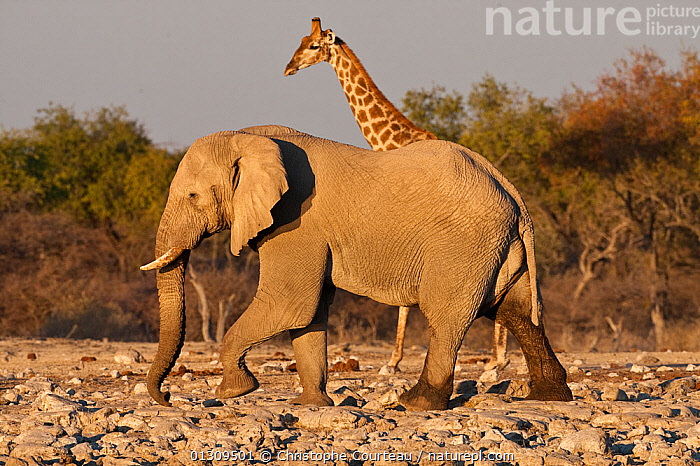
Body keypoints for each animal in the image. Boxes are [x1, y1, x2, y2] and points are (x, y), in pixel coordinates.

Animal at [141, 125, 572, 410]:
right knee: (516, 311)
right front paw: (313, 404)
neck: (246, 137)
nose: (168, 398)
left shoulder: (296, 222)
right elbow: (310, 312)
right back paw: (550, 395)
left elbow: (290, 303)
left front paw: (234, 391)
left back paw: (415, 403)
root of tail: (511, 191)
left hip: (464, 246)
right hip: (499, 246)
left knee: (448, 318)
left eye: (193, 196)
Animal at [285, 17, 510, 372]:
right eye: (301, 41)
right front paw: (395, 359)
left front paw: (393, 361)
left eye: (314, 46)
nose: (289, 67)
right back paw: (498, 358)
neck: (394, 140)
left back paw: (496, 360)